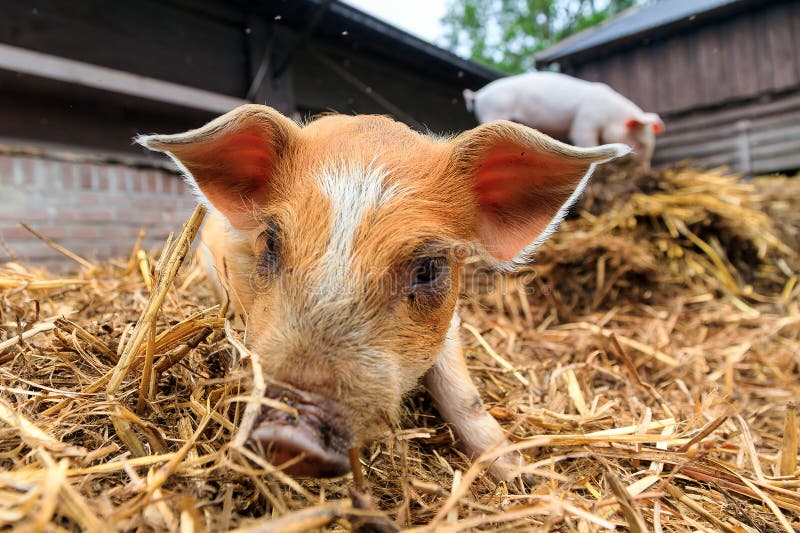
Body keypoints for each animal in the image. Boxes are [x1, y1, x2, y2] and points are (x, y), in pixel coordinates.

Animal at [137, 105, 628, 480]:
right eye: (272, 243)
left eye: (429, 268)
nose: (290, 433)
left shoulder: (451, 324)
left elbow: (462, 393)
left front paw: (523, 477)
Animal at [464, 71, 664, 171]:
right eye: (639, 143)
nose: (645, 171)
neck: (610, 114)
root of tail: (479, 94)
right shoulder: (585, 119)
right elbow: (584, 138)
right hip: (493, 110)